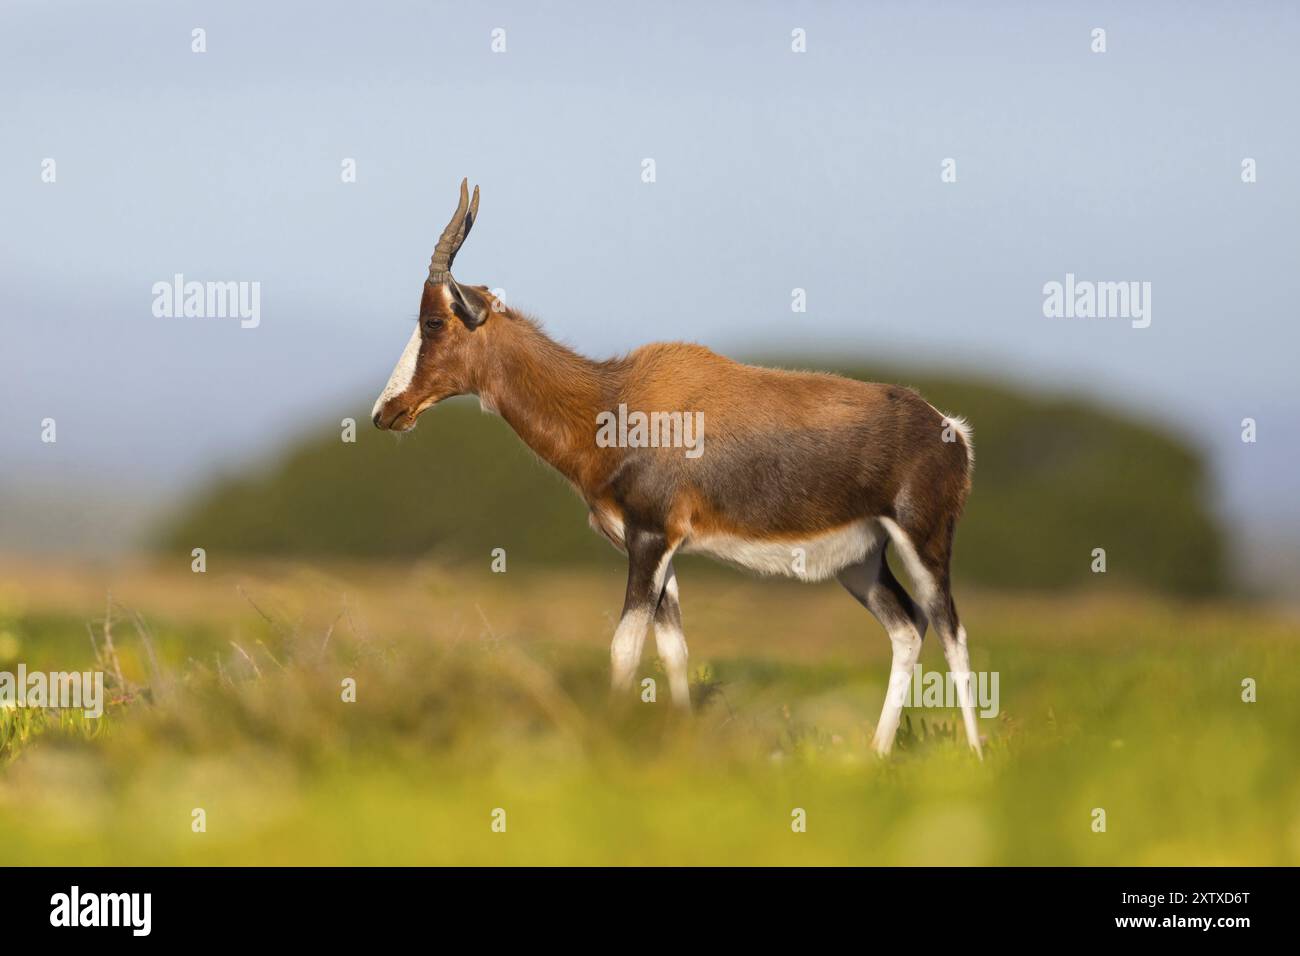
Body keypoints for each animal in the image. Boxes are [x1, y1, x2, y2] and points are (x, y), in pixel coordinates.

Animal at [372, 181, 982, 757]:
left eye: (433, 320)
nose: (385, 412)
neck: (615, 398)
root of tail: (949, 427)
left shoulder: (649, 540)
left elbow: (624, 646)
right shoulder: (657, 548)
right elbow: (674, 649)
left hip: (925, 540)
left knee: (951, 628)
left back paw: (977, 756)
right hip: (859, 560)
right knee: (908, 628)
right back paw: (876, 754)